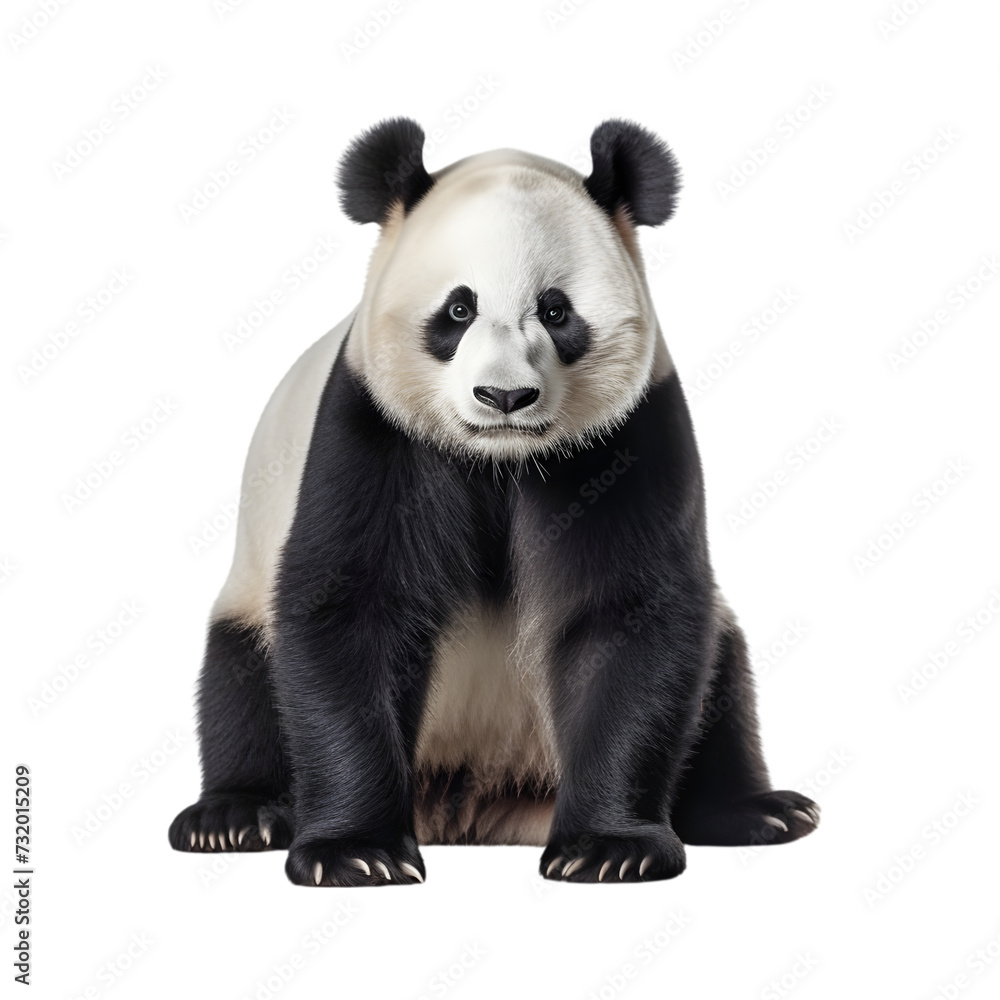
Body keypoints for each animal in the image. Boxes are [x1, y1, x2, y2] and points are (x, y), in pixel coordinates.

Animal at [169, 117, 819, 885]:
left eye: (556, 311)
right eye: (458, 309)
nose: (504, 396)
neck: (501, 460)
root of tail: (473, 806)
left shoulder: (631, 435)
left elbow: (626, 613)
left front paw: (610, 848)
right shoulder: (374, 430)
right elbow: (355, 606)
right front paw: (355, 852)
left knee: (722, 677)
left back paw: (755, 811)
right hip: (250, 585)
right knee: (240, 672)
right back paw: (235, 817)